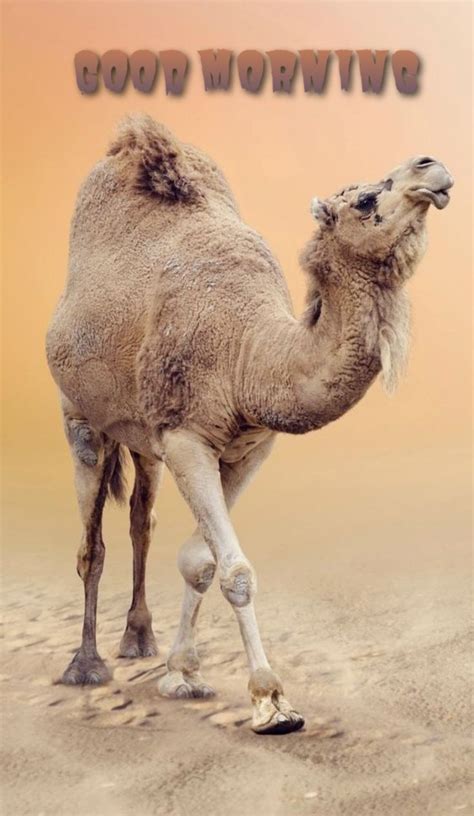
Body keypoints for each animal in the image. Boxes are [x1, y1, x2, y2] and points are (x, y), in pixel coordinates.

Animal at [46, 115, 453, 734]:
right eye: (364, 199)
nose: (431, 166)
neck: (251, 357)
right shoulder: (187, 438)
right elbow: (234, 569)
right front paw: (271, 700)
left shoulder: (247, 448)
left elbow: (199, 563)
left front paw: (182, 673)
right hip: (79, 414)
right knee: (91, 542)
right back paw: (86, 665)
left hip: (141, 433)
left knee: (142, 518)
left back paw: (138, 640)